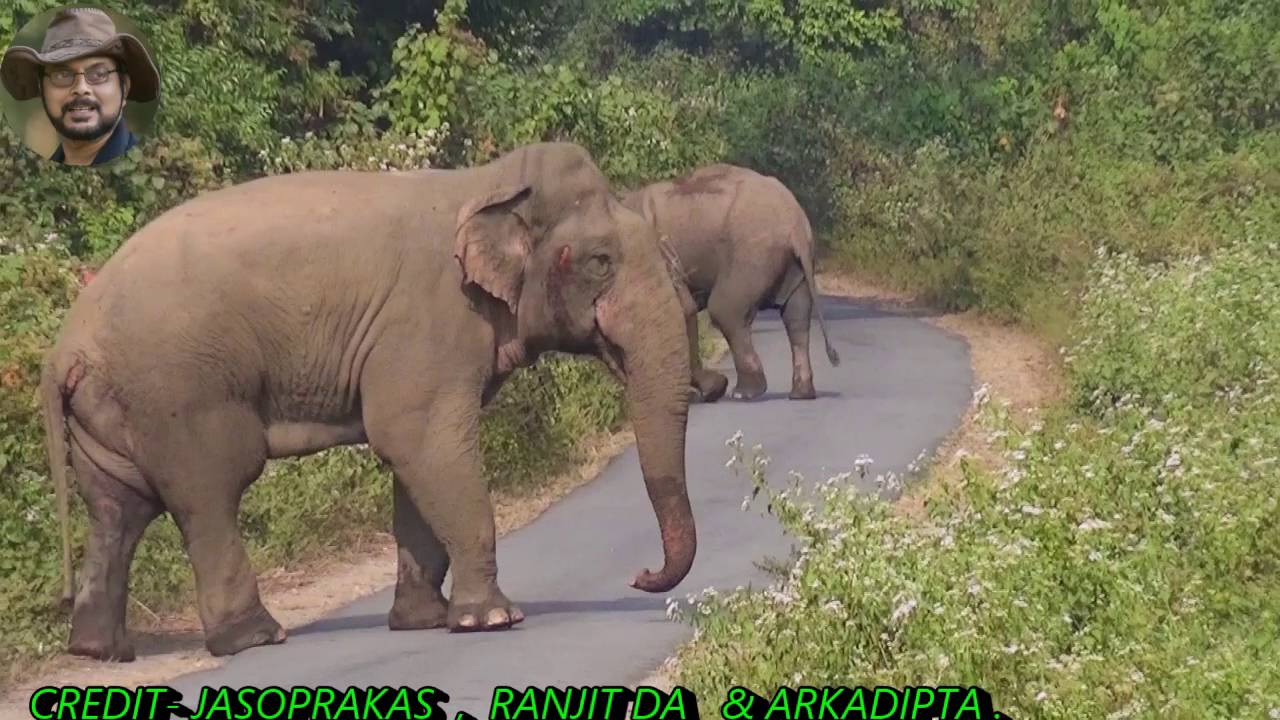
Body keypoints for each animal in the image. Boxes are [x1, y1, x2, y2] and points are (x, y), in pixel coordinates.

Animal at [39, 141, 698, 662]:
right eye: (600, 262)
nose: (641, 576)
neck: (485, 183)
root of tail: (64, 348)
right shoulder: (428, 322)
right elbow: (419, 440)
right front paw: (490, 620)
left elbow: (416, 461)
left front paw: (423, 621)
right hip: (178, 392)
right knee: (209, 492)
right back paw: (255, 639)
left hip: (110, 412)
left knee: (117, 508)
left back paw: (99, 651)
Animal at [619, 163, 840, 402]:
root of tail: (797, 224)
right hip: (792, 264)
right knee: (796, 317)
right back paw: (801, 394)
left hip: (751, 255)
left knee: (725, 310)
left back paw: (743, 393)